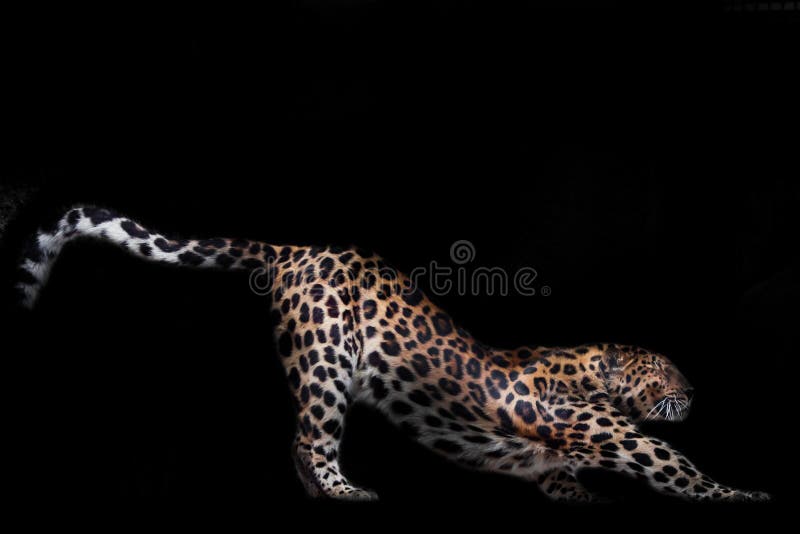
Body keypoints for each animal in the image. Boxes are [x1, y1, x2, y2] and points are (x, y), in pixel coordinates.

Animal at [15, 205, 770, 502]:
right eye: (665, 371)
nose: (696, 392)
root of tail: (296, 248)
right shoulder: (623, 438)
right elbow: (682, 469)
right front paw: (743, 495)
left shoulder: (554, 467)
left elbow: (569, 486)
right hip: (326, 361)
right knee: (310, 439)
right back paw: (347, 493)